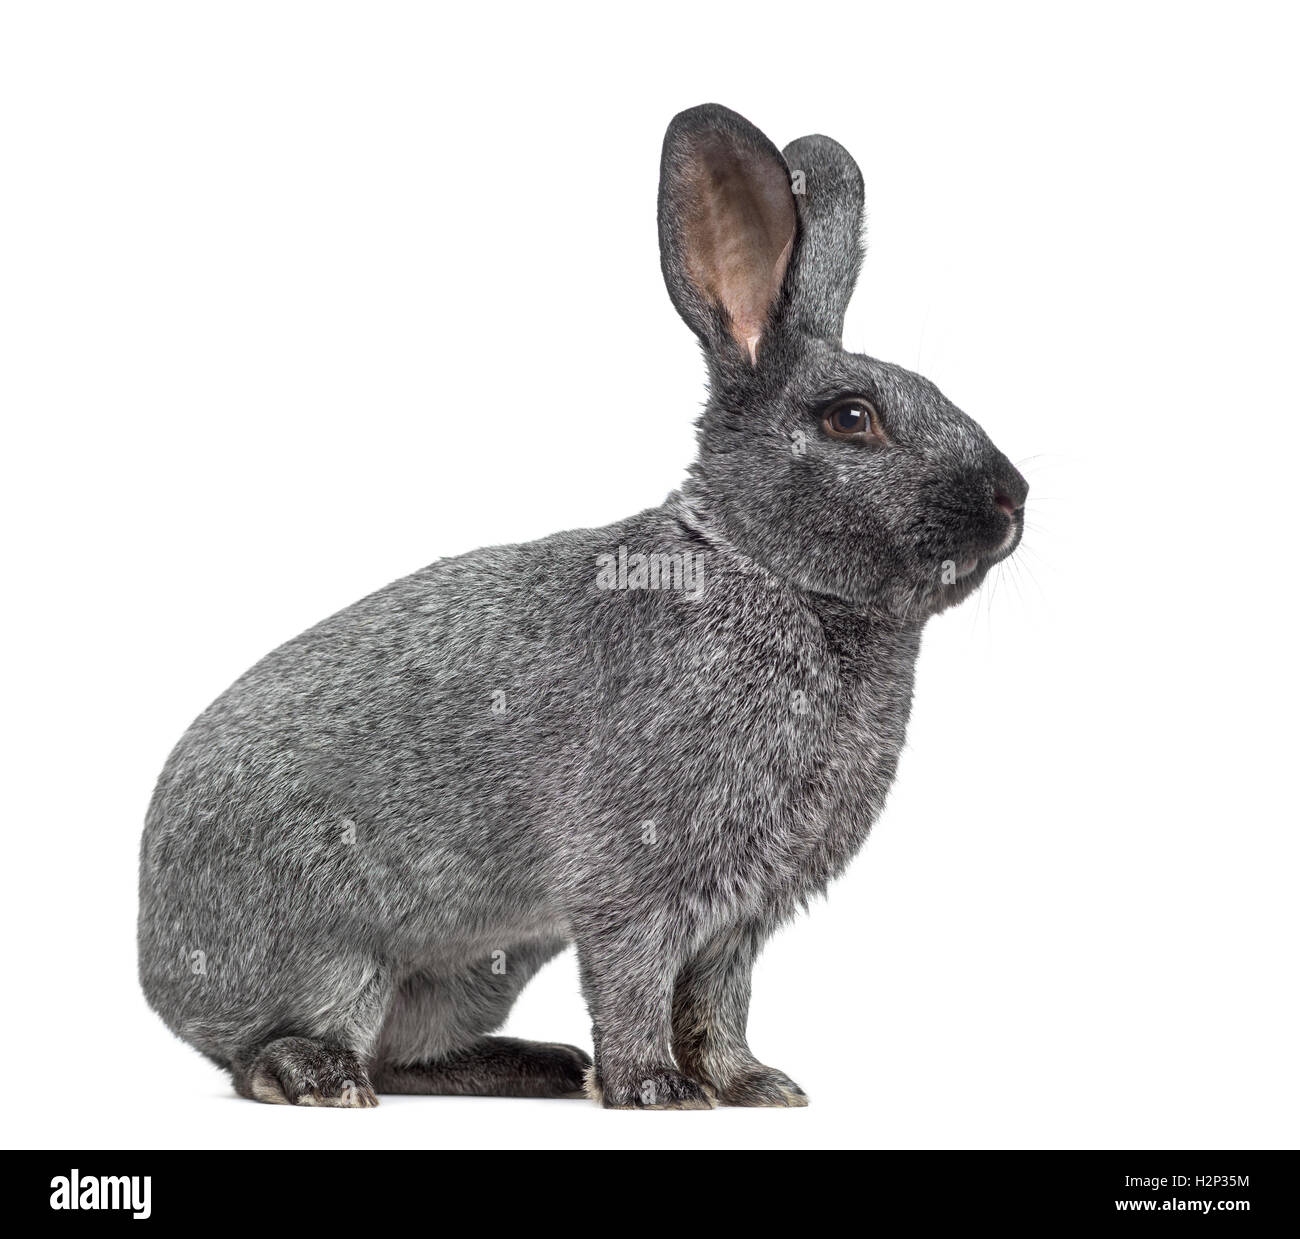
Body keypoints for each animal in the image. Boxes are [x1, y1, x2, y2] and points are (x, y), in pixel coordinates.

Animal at [138, 102, 1027, 1110]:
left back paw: (538, 1064)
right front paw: (654, 1088)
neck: (762, 566)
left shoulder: (738, 920)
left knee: (408, 1051)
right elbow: (635, 978)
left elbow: (718, 1001)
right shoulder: (634, 877)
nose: (1013, 498)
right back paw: (320, 1076)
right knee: (269, 1050)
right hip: (331, 958)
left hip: (476, 971)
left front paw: (753, 1085)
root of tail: (151, 954)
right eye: (850, 418)